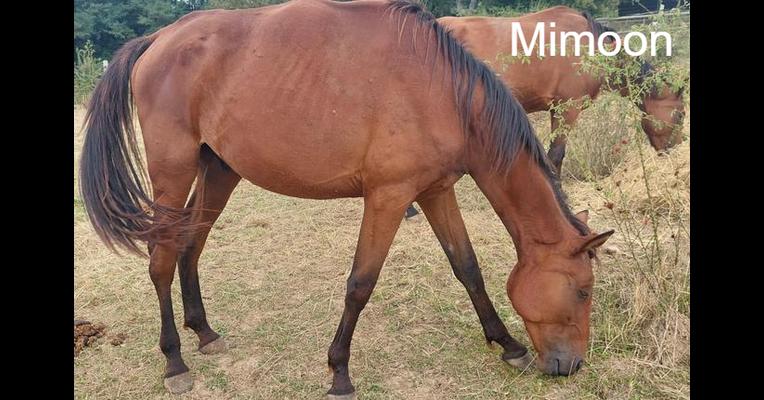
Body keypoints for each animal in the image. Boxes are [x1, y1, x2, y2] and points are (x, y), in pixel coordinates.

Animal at [78, 0, 613, 397]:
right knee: (162, 257)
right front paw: (339, 372)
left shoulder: (436, 191)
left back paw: (204, 332)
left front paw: (507, 344)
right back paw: (174, 361)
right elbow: (361, 283)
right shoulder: (388, 198)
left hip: (219, 170)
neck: (444, 92)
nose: (571, 365)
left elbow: (468, 268)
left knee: (191, 243)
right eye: (583, 291)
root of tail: (159, 40)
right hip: (173, 170)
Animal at [438, 6, 687, 173]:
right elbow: (556, 156)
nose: (677, 148)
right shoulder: (567, 109)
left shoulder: (554, 109)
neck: (589, 46)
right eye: (681, 114)